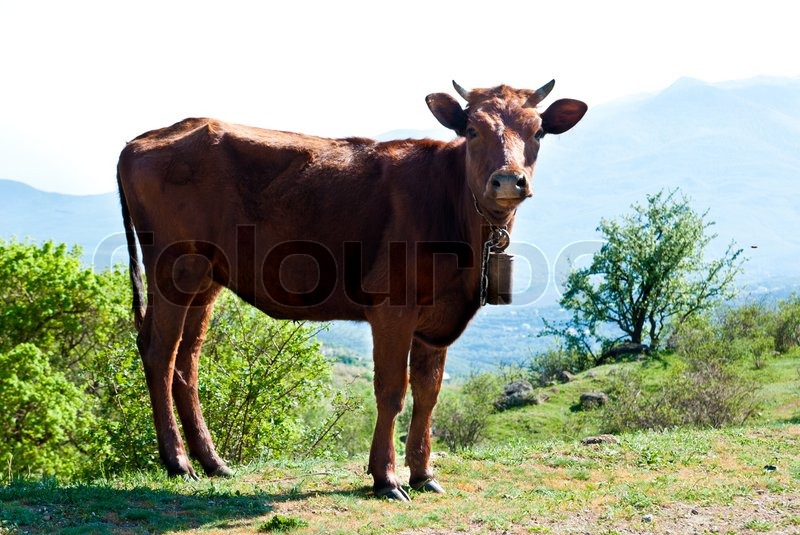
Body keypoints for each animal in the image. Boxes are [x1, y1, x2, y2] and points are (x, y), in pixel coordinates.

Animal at [116, 80, 587, 501]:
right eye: (471, 130)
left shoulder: (438, 315)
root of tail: (145, 139)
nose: (508, 181)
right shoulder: (393, 307)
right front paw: (386, 479)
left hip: (206, 277)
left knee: (187, 361)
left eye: (538, 131)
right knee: (159, 352)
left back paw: (212, 462)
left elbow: (428, 393)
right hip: (174, 267)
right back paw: (178, 463)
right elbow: (392, 391)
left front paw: (424, 474)